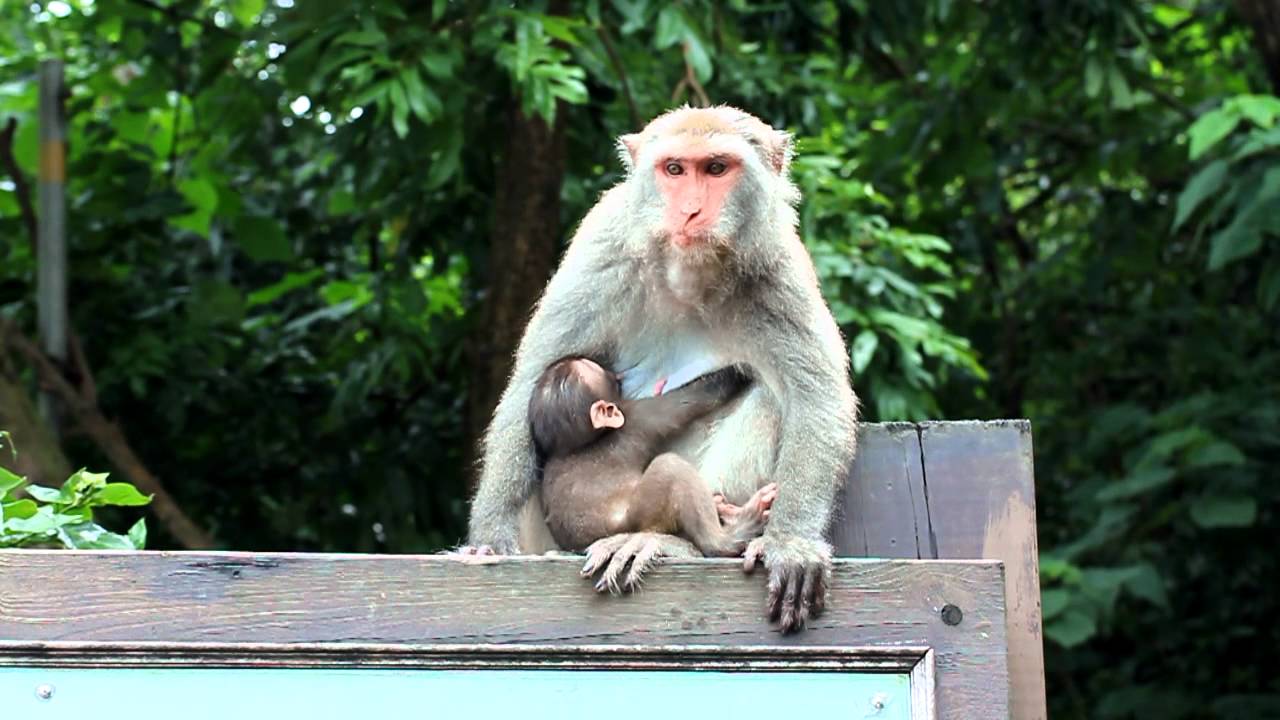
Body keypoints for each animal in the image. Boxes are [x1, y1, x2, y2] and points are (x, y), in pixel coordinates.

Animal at [528, 355, 778, 591]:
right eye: (607, 378)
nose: (617, 376)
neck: (582, 442)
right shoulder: (637, 416)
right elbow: (693, 400)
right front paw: (740, 371)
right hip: (644, 512)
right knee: (670, 467)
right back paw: (728, 538)